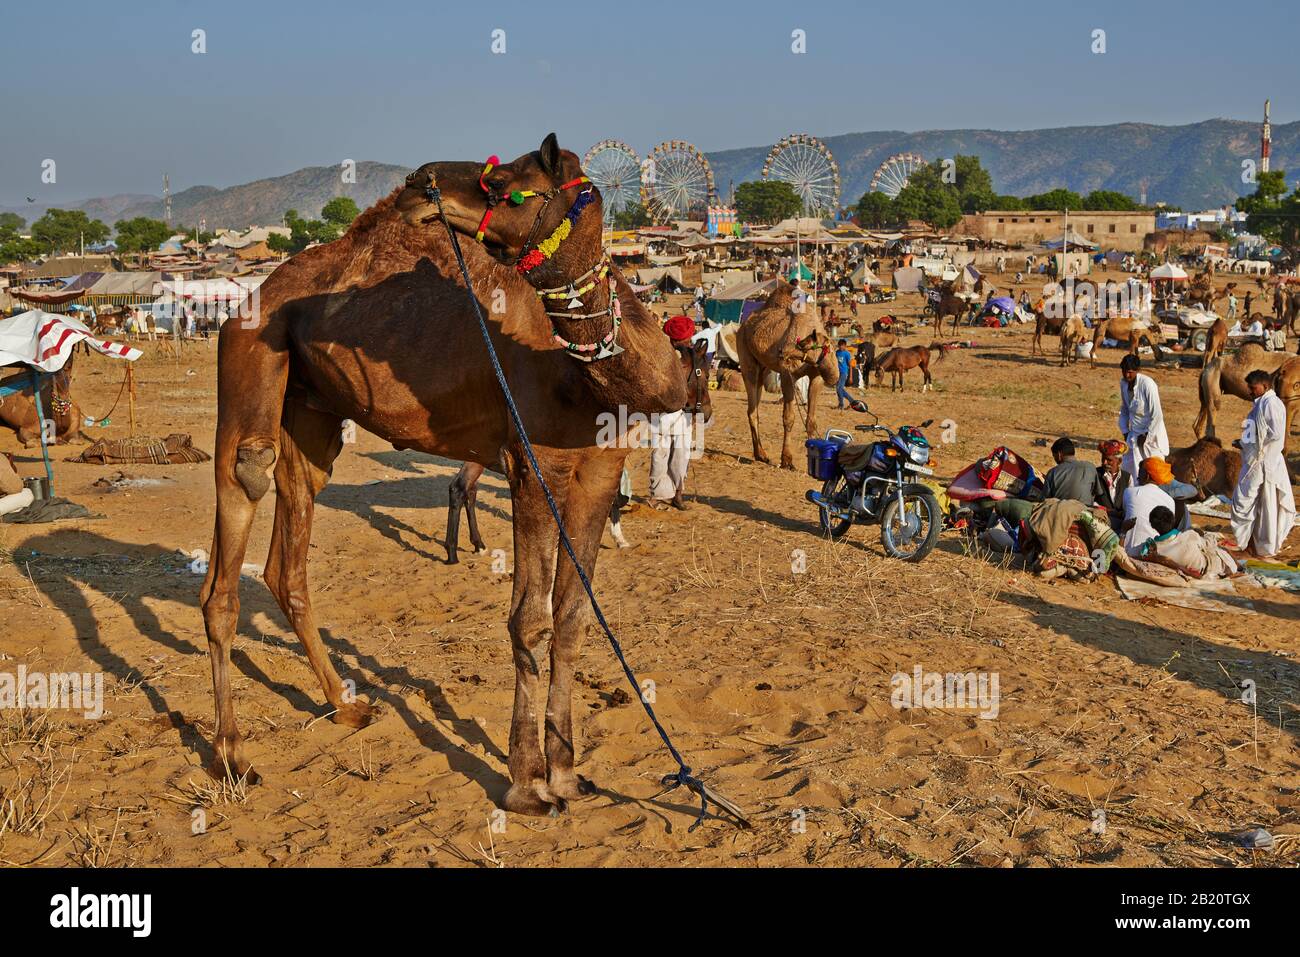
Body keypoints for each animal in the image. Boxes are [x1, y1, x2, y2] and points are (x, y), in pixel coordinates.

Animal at [199, 135, 688, 816]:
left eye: (503, 183)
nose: (417, 181)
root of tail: (248, 300)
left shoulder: (600, 467)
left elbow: (572, 618)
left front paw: (568, 775)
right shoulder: (533, 462)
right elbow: (530, 620)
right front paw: (526, 785)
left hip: (311, 408)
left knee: (286, 556)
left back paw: (346, 706)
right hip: (251, 356)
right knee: (240, 501)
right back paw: (234, 757)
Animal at [735, 283, 840, 469]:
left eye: (803, 345)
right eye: (798, 341)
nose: (782, 352)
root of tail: (743, 326)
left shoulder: (817, 377)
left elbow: (811, 420)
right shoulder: (787, 374)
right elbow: (788, 418)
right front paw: (787, 460)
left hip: (762, 368)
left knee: (755, 405)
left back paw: (760, 455)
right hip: (746, 357)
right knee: (751, 407)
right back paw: (761, 455)